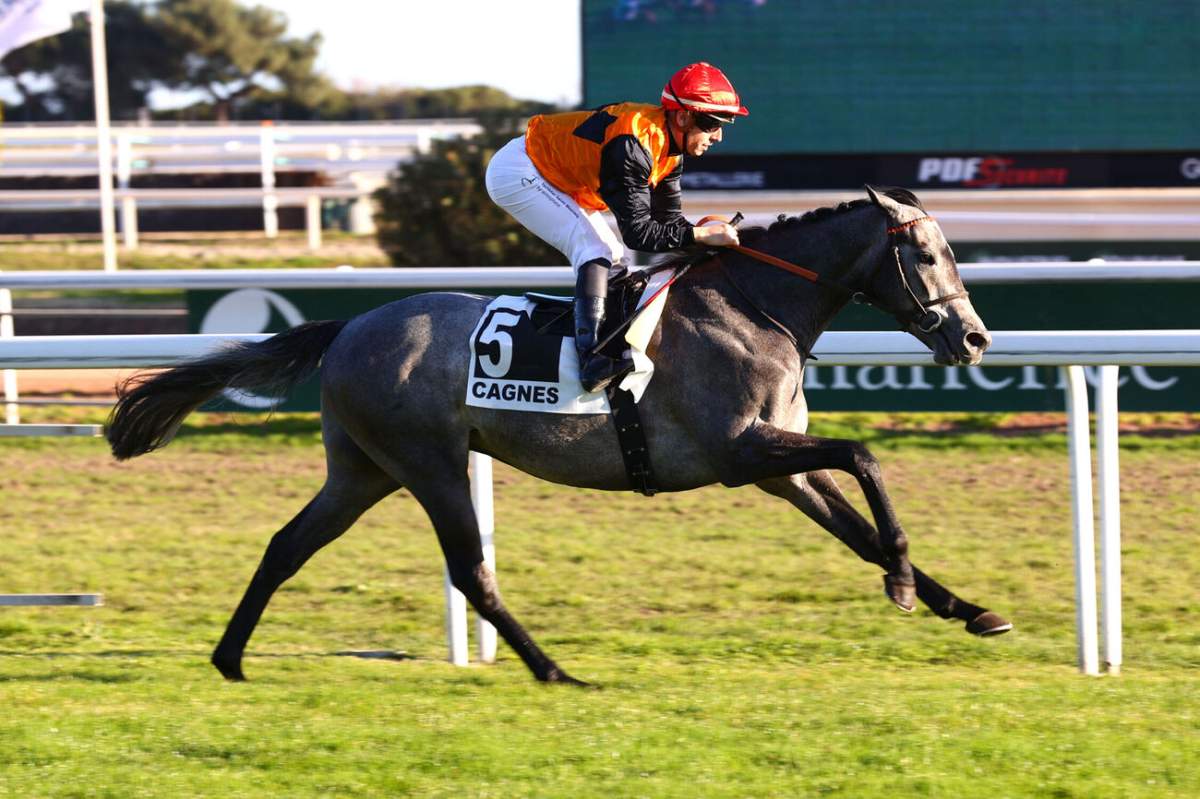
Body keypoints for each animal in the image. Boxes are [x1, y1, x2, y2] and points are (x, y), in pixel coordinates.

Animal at [106, 186, 1012, 686]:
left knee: (286, 545)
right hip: (430, 463)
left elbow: (860, 526)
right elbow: (865, 454)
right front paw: (906, 584)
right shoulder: (740, 452)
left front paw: (965, 607)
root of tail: (351, 326)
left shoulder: (777, 465)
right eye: (927, 254)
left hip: (362, 470)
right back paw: (554, 668)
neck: (753, 307)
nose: (973, 339)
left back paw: (230, 657)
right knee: (470, 571)